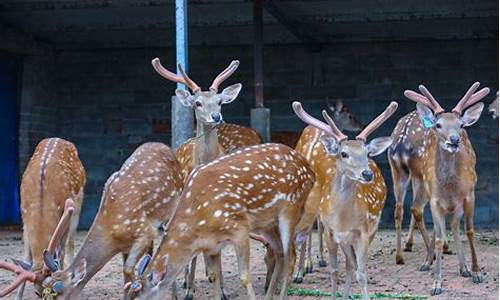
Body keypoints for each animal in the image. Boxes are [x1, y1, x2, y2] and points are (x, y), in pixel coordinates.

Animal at [0, 138, 85, 300]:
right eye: (37, 293)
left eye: (58, 290)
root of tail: (59, 139)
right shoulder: (24, 219)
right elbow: (27, 257)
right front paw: (18, 296)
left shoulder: (66, 214)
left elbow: (61, 252)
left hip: (78, 204)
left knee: (71, 242)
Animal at [123, 143, 314, 300]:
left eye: (139, 299)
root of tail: (310, 170)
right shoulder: (212, 245)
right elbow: (213, 276)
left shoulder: (239, 227)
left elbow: (244, 277)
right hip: (268, 223)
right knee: (280, 253)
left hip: (291, 209)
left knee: (291, 257)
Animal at [152, 57, 246, 298]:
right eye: (197, 103)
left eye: (220, 101)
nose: (217, 116)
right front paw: (190, 289)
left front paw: (223, 289)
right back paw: (188, 283)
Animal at [292, 99, 398, 298]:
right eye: (344, 153)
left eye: (367, 153)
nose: (367, 174)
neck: (343, 220)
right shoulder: (331, 232)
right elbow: (334, 272)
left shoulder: (364, 232)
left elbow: (361, 273)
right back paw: (300, 272)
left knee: (351, 265)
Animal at [394, 82, 492, 296]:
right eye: (438, 125)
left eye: (460, 125)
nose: (454, 139)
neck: (450, 186)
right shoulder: (436, 199)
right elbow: (439, 236)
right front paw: (436, 283)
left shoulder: (469, 195)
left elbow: (469, 230)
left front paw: (476, 272)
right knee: (435, 222)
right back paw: (428, 262)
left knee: (453, 224)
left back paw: (463, 268)